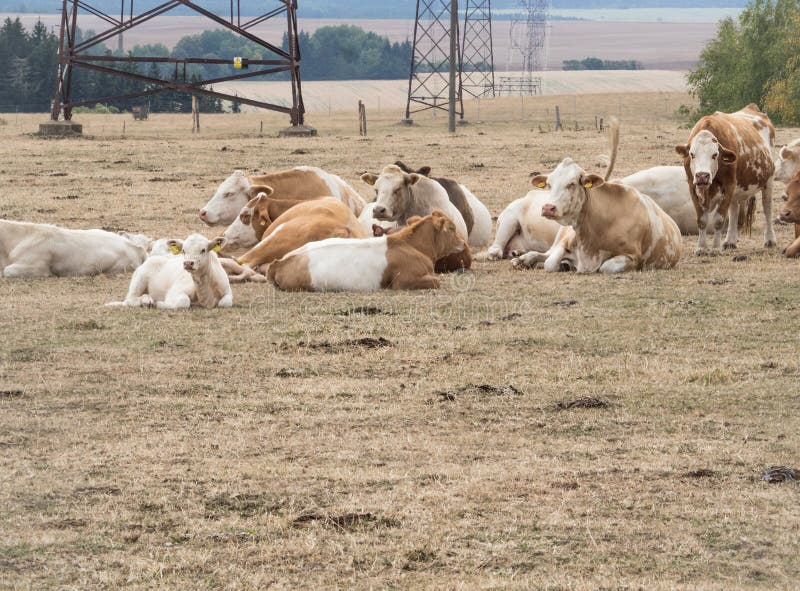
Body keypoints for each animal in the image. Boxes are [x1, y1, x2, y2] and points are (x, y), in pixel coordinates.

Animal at [269, 211, 464, 291]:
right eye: (452, 228)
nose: (463, 242)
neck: (412, 245)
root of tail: (279, 262)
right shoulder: (404, 281)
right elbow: (436, 281)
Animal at [514, 158, 682, 273]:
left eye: (572, 184)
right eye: (549, 184)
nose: (548, 208)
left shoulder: (631, 256)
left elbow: (605, 267)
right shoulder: (564, 243)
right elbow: (550, 263)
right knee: (544, 253)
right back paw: (521, 258)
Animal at [676, 104, 776, 254]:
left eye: (715, 154)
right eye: (692, 154)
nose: (702, 175)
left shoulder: (728, 185)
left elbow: (718, 220)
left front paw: (715, 248)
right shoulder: (693, 187)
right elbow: (701, 220)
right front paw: (701, 248)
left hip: (768, 181)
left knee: (767, 208)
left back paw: (770, 240)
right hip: (735, 189)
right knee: (734, 210)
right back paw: (730, 241)